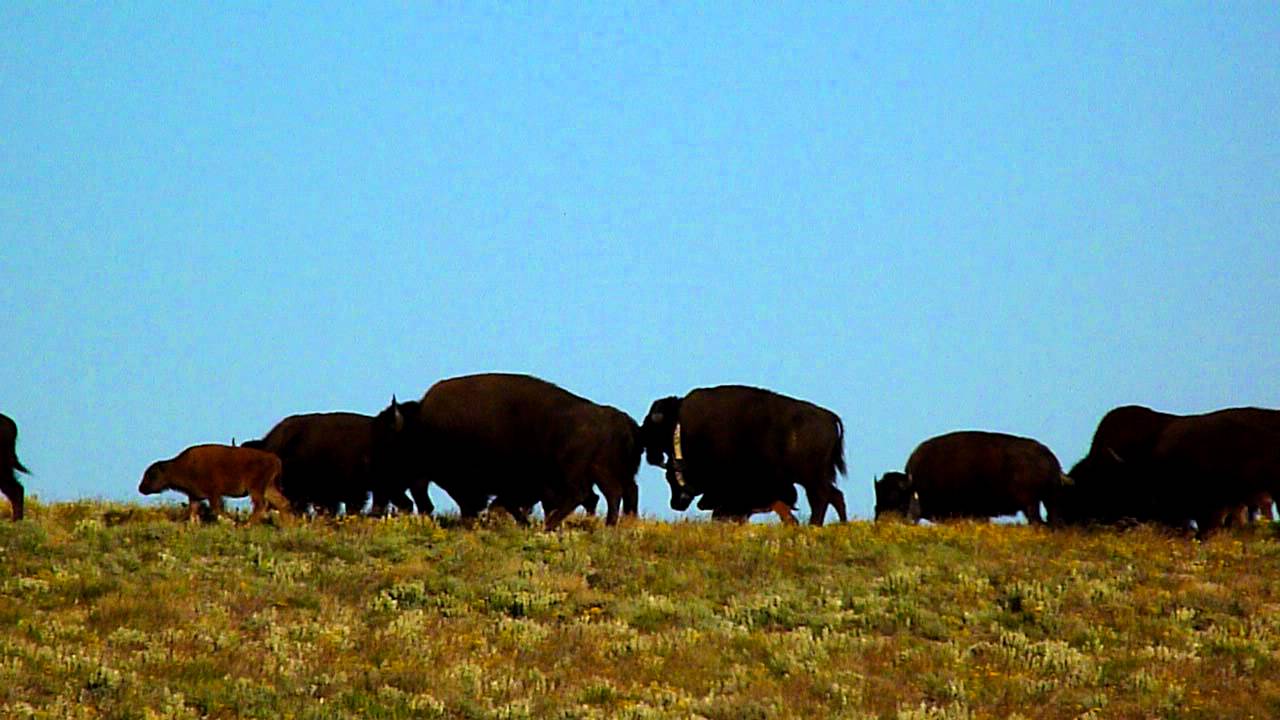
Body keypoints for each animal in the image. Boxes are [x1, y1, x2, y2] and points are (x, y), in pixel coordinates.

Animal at [139, 444, 291, 523]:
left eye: (152, 474)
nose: (141, 488)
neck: (179, 466)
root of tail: (274, 458)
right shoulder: (194, 496)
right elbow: (193, 510)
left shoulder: (213, 493)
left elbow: (216, 508)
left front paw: (229, 522)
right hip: (268, 487)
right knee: (282, 503)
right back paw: (288, 526)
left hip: (256, 489)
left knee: (261, 505)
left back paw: (246, 525)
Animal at [371, 373, 642, 530]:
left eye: (392, 443)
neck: (422, 427)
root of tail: (612, 417)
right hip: (602, 469)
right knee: (613, 493)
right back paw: (608, 525)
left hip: (573, 471)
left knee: (583, 494)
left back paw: (550, 526)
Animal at [640, 385, 847, 525]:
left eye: (671, 479)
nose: (676, 504)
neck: (679, 426)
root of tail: (830, 417)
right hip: (817, 477)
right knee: (835, 496)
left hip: (811, 478)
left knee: (821, 498)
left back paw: (814, 525)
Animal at [875, 431, 1066, 524]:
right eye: (878, 495)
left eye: (896, 497)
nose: (879, 521)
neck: (915, 484)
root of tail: (1050, 458)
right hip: (1048, 501)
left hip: (1031, 504)